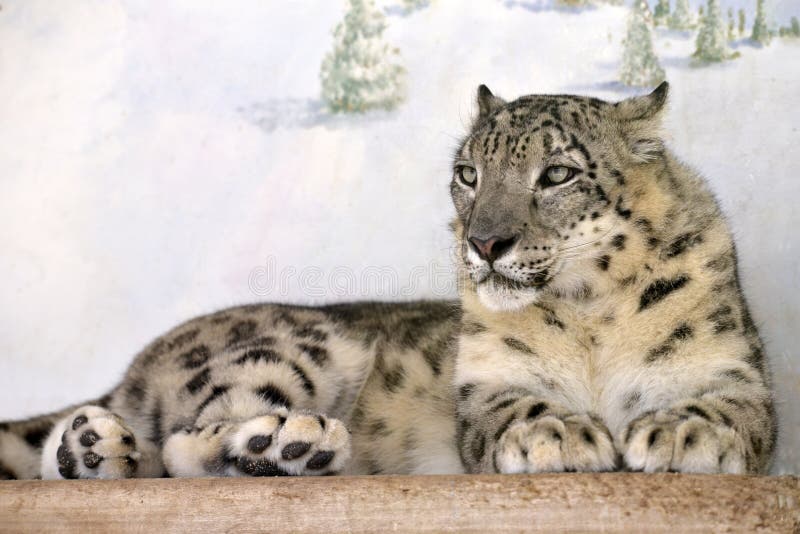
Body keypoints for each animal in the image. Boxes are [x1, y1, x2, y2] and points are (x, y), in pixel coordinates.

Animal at [0, 82, 776, 480]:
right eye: (468, 173)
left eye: (557, 172)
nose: (483, 241)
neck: (590, 317)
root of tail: (134, 369)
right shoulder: (490, 385)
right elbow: (517, 408)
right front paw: (560, 431)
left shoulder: (731, 370)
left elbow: (734, 410)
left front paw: (678, 431)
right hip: (288, 349)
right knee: (189, 440)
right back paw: (283, 443)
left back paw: (93, 450)